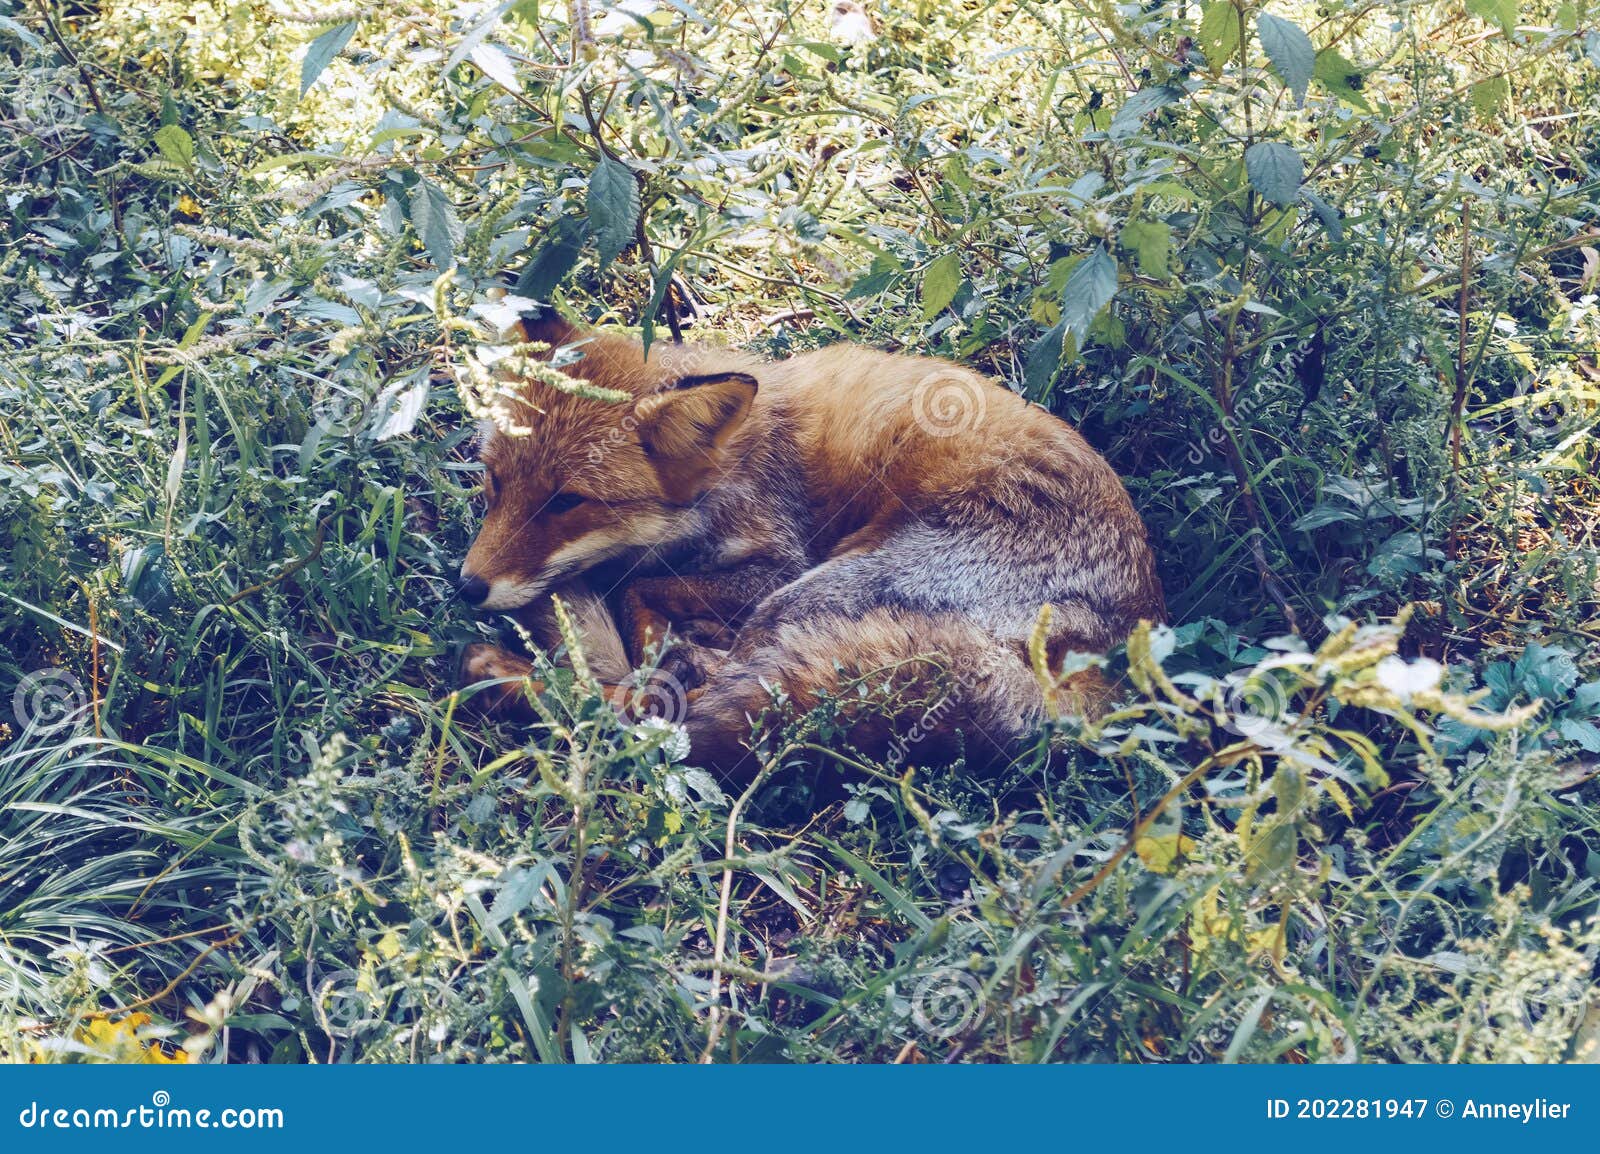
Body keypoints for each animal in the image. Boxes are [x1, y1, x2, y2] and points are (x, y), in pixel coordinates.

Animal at [457, 307, 1164, 780]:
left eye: (565, 502)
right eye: (495, 482)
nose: (467, 586)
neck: (733, 466)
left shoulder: (778, 561)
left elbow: (637, 589)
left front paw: (652, 638)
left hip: (819, 588)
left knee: (664, 716)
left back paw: (513, 675)